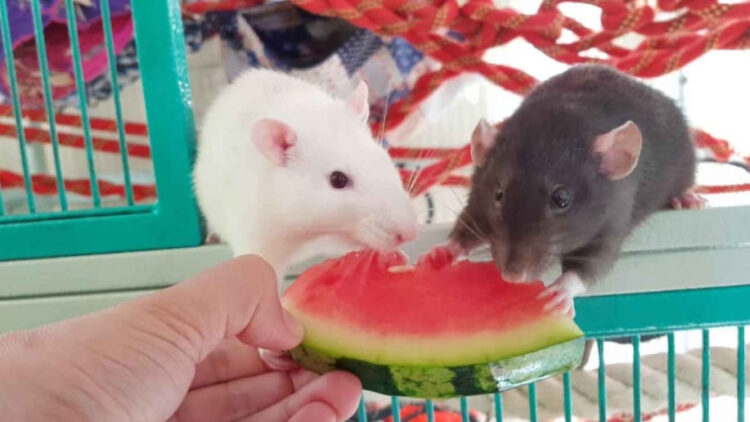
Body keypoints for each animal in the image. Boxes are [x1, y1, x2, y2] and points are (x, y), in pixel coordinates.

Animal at [421, 64, 701, 316]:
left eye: (561, 199)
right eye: (498, 194)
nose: (512, 275)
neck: (564, 112)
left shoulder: (614, 216)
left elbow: (597, 261)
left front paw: (562, 288)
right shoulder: (479, 197)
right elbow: (470, 222)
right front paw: (447, 249)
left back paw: (686, 198)